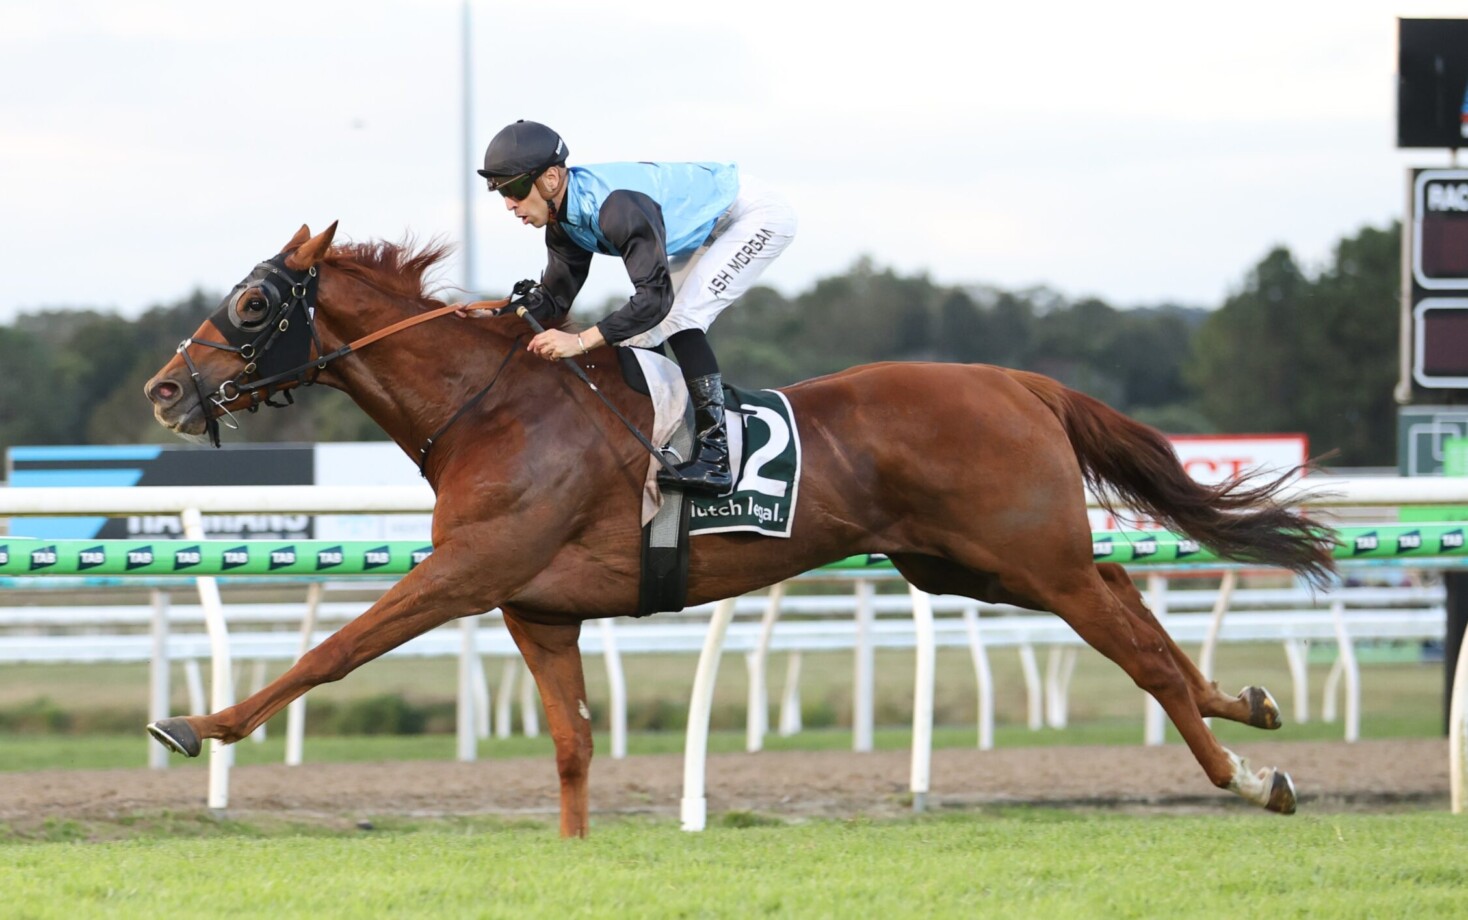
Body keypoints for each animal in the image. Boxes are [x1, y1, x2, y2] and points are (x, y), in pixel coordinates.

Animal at [143, 222, 1337, 836]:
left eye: (253, 304)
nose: (163, 389)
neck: (491, 407)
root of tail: (1019, 379)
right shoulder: (536, 608)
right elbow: (572, 745)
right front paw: (574, 856)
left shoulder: (468, 568)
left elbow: (335, 650)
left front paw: (197, 723)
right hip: (969, 564)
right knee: (1134, 604)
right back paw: (1249, 704)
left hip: (1025, 554)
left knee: (1141, 653)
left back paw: (1243, 771)